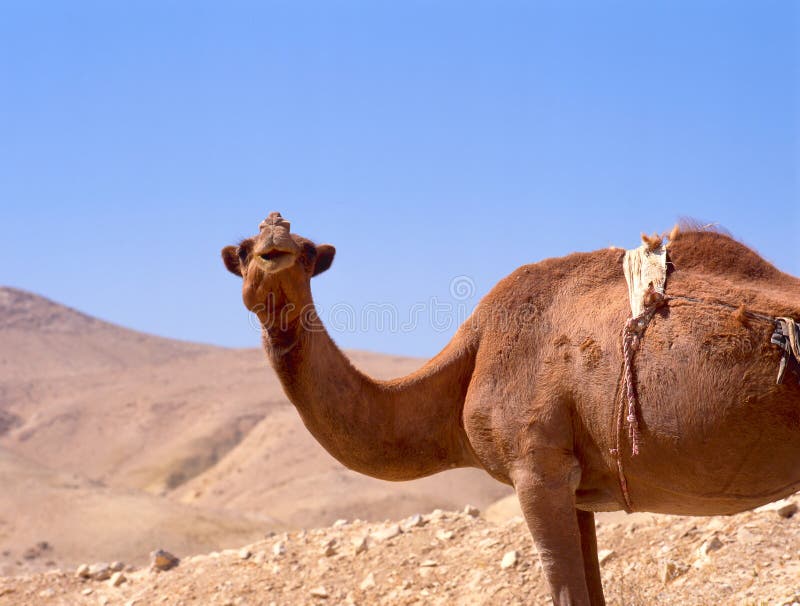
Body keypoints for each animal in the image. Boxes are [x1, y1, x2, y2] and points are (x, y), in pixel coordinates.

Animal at [221, 213, 800, 605]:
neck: (472, 358)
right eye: (246, 249)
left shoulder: (536, 468)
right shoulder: (578, 488)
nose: (275, 244)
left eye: (306, 250)